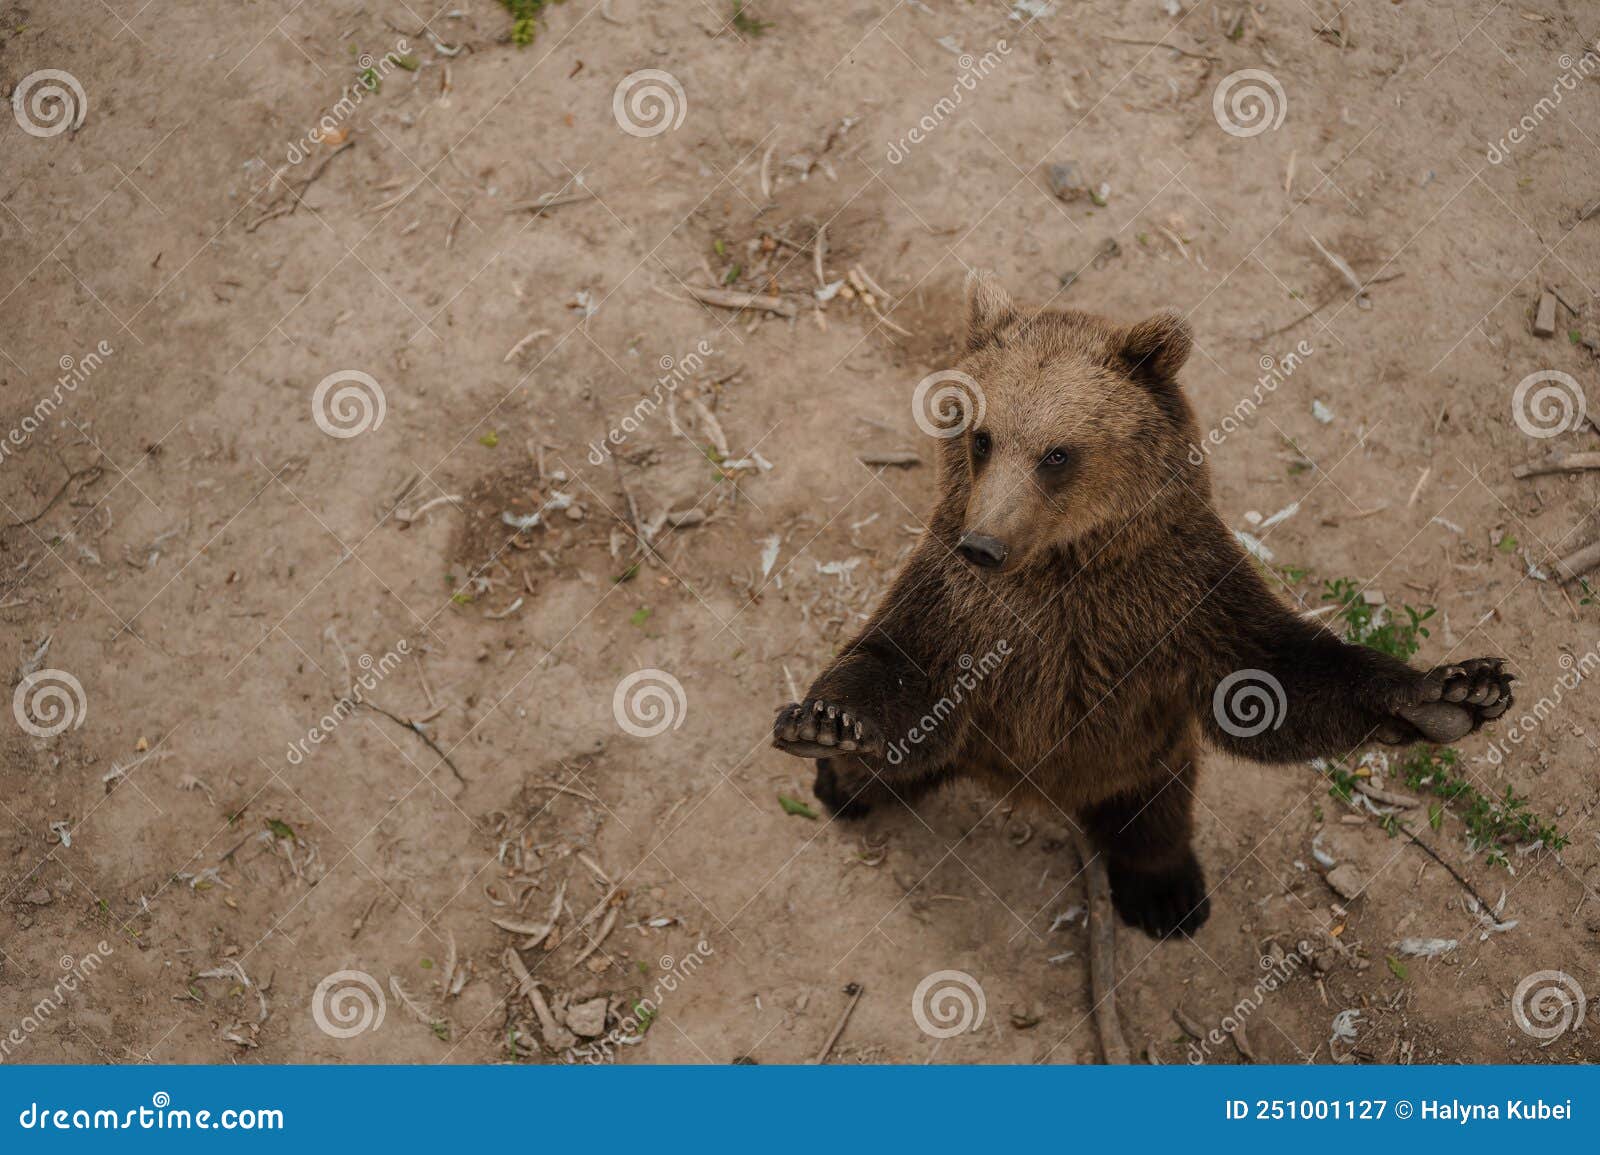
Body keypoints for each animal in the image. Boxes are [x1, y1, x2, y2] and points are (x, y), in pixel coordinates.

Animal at [771, 271, 1514, 940]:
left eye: (1057, 454)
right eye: (982, 438)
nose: (984, 544)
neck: (1065, 564)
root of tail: (1016, 783)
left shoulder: (1177, 591)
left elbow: (1273, 674)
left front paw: (1453, 693)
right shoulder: (960, 601)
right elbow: (899, 665)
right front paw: (825, 723)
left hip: (1139, 754)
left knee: (1155, 814)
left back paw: (1168, 895)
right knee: (898, 760)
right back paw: (840, 781)